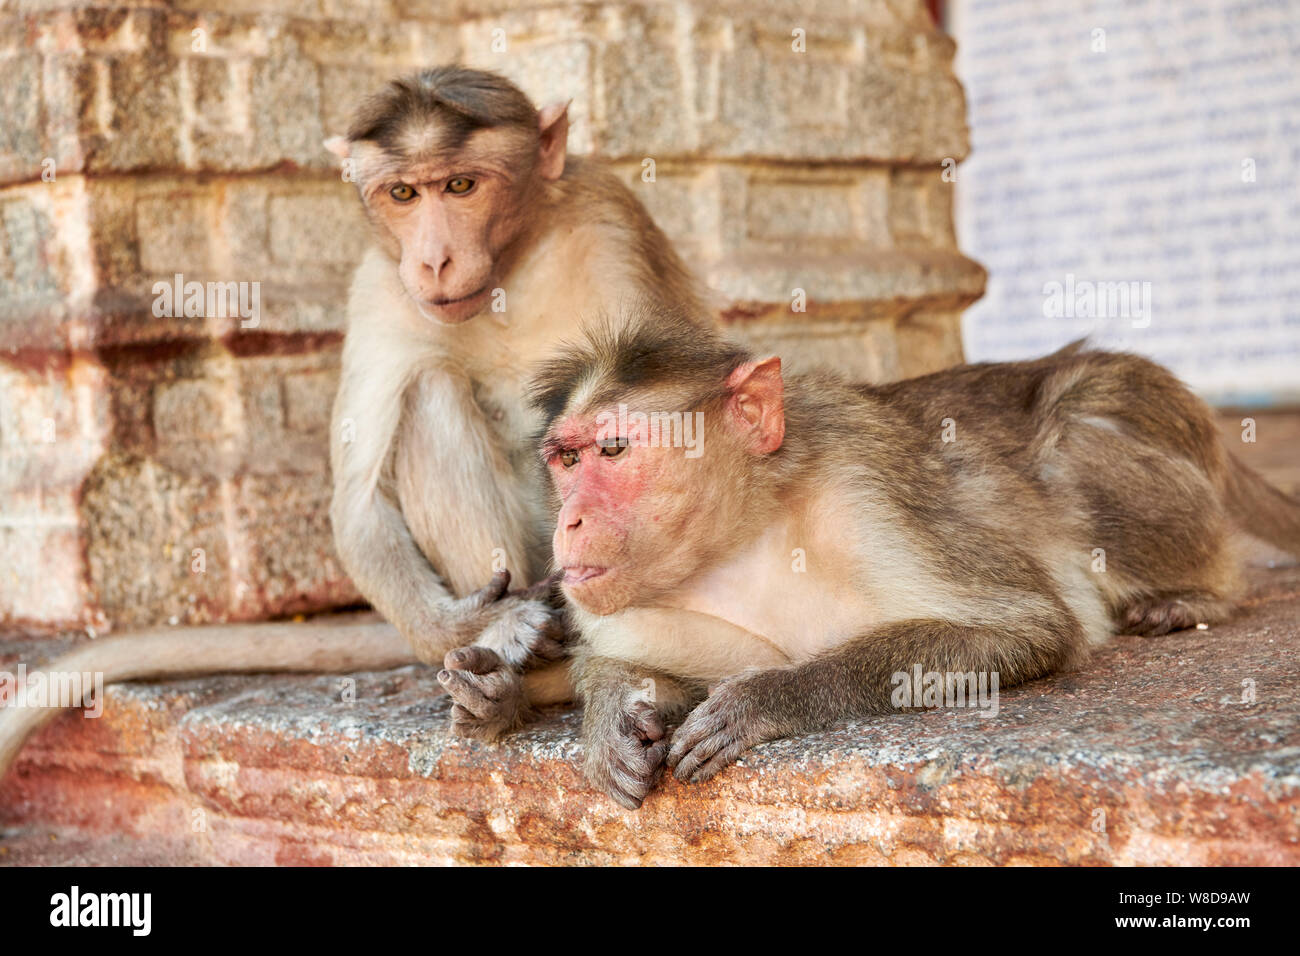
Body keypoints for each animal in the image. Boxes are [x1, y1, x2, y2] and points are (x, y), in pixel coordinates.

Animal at [0, 67, 714, 779]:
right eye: (403, 193)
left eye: (461, 186)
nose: (433, 260)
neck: (505, 275)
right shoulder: (380, 286)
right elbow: (359, 499)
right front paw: (480, 625)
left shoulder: (609, 225)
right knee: (427, 395)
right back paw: (506, 678)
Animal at [445, 304, 1300, 810]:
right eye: (564, 460)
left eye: (615, 451)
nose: (570, 521)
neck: (747, 532)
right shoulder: (638, 602)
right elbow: (643, 670)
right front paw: (612, 716)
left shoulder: (866, 495)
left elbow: (1027, 627)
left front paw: (772, 697)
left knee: (1076, 434)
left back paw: (1198, 593)